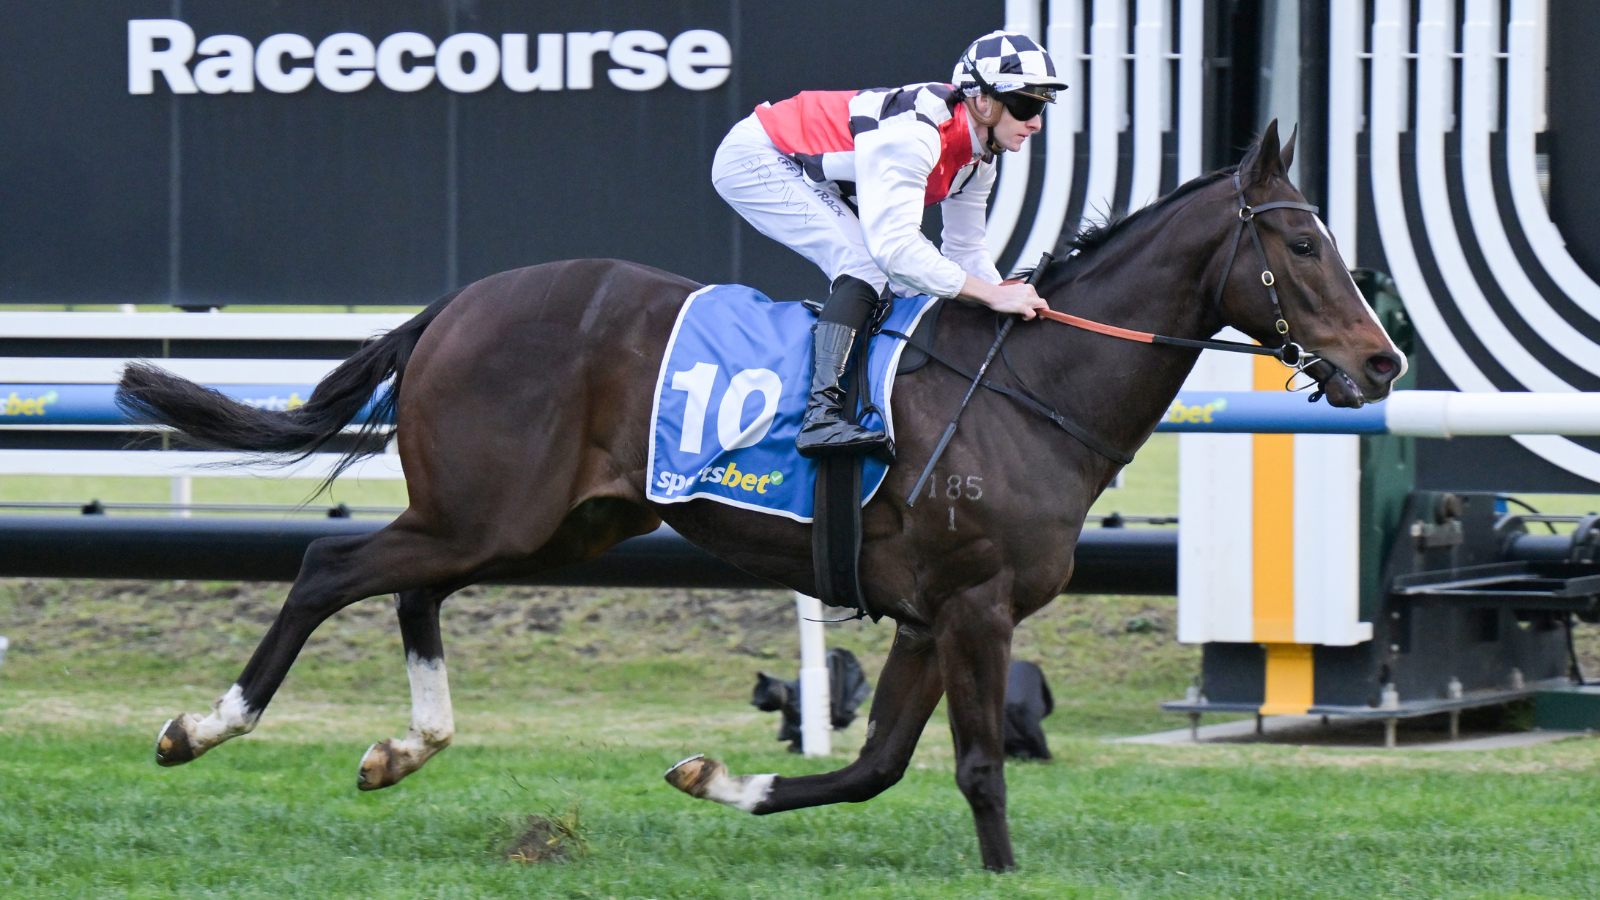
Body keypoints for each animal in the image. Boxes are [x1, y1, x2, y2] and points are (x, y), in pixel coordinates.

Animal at [118, 122, 1402, 872]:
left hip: (546, 523)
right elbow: (976, 769)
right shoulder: (976, 603)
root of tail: (457, 302)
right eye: (1298, 243)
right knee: (330, 568)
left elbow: (876, 766)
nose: (1382, 362)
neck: (1029, 388)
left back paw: (404, 747)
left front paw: (716, 778)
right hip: (495, 512)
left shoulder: (930, 616)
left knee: (410, 594)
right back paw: (204, 726)